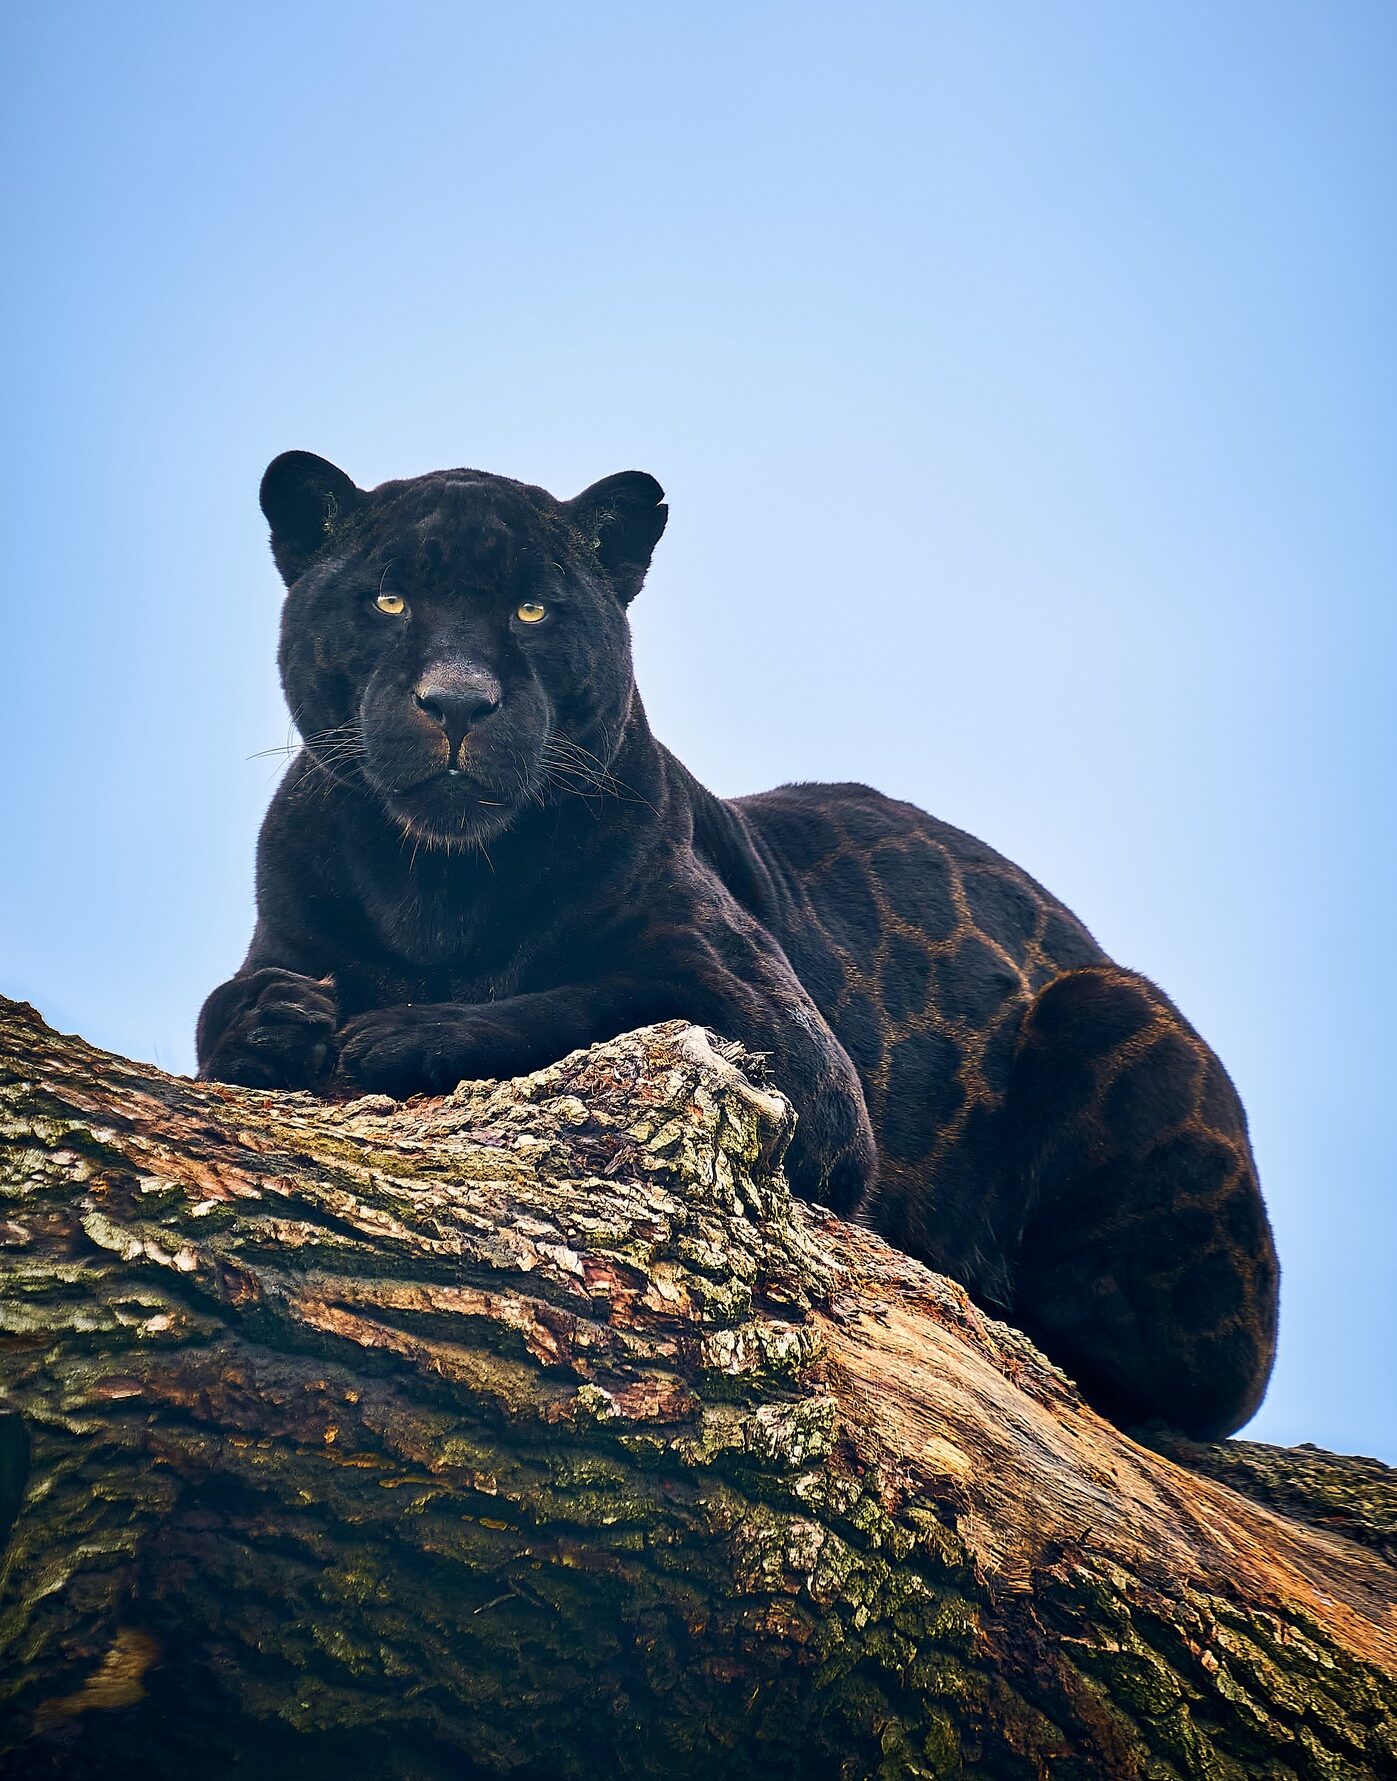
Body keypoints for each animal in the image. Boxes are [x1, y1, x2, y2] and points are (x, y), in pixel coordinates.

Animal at [197, 451, 1280, 1439]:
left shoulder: (793, 1052)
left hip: (1108, 1003)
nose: (457, 700)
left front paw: (403, 1033)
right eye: (388, 599)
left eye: (532, 611)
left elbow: (605, 999)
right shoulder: (284, 930)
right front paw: (279, 1017)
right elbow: (220, 1007)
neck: (436, 890)